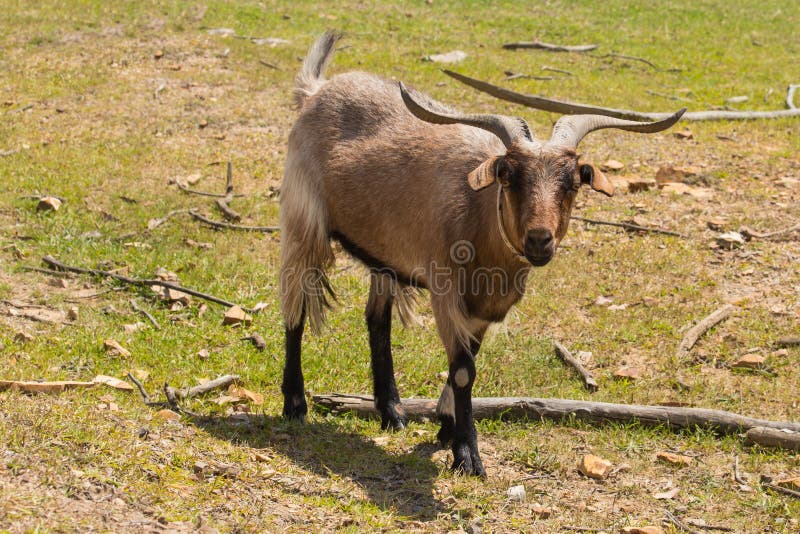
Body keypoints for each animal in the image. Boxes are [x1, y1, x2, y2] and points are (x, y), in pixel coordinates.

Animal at [279, 31, 684, 476]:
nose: (539, 240)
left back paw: (392, 411)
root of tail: (315, 92)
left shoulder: (483, 308)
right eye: (508, 174)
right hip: (302, 221)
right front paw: (467, 454)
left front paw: (446, 425)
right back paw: (295, 404)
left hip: (383, 255)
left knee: (376, 320)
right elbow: (462, 371)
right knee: (295, 309)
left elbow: (469, 358)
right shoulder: (445, 292)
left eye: (573, 181)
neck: (477, 217)